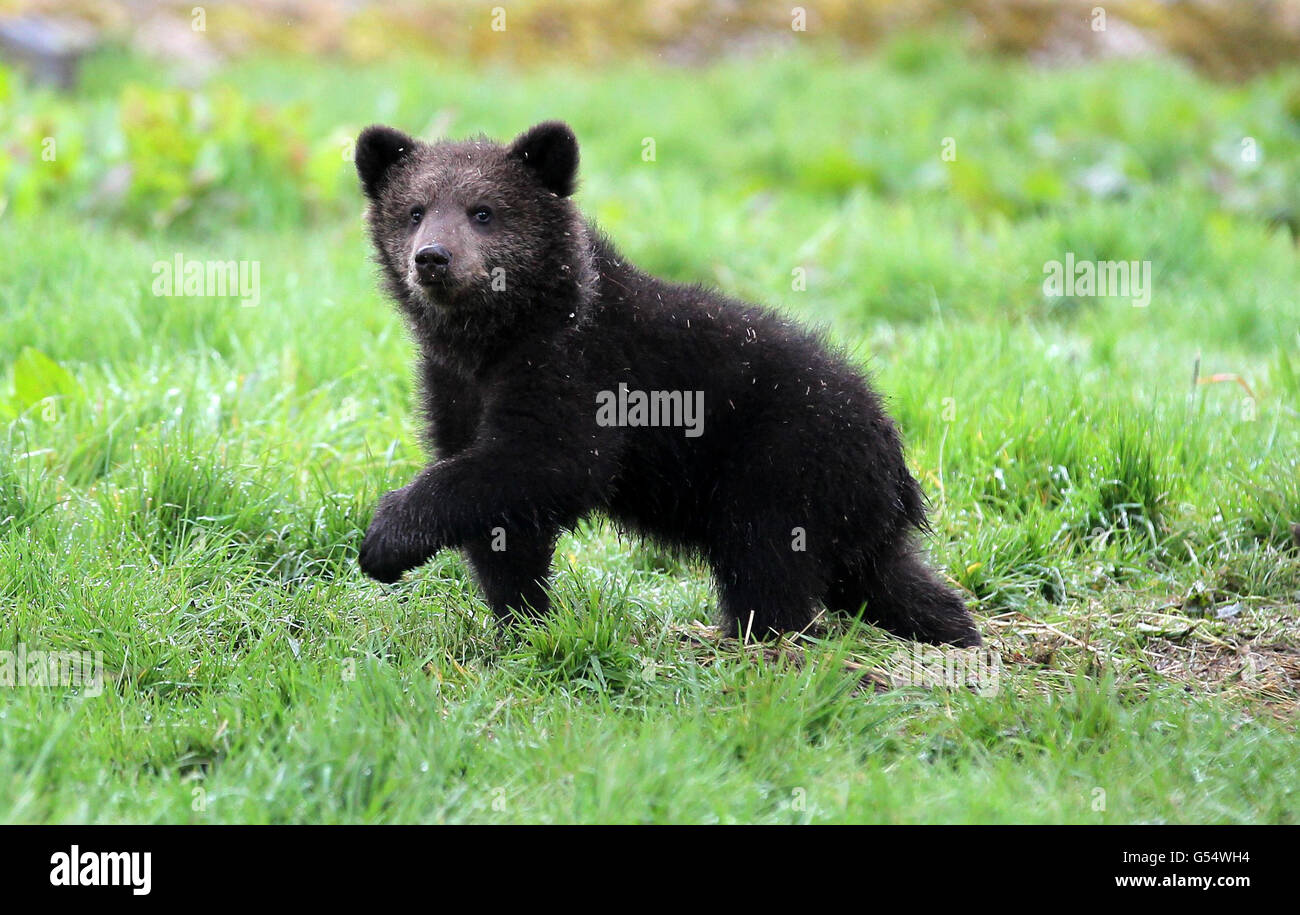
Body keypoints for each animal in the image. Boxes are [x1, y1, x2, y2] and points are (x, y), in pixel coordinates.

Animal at [353, 120, 981, 647]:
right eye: (414, 210)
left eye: (483, 211)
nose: (433, 258)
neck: (496, 339)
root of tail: (898, 465)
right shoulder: (455, 388)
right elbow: (502, 521)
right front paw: (524, 621)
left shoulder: (579, 369)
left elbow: (545, 461)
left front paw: (386, 538)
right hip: (843, 511)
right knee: (886, 580)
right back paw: (956, 630)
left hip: (783, 468)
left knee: (768, 567)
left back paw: (759, 643)